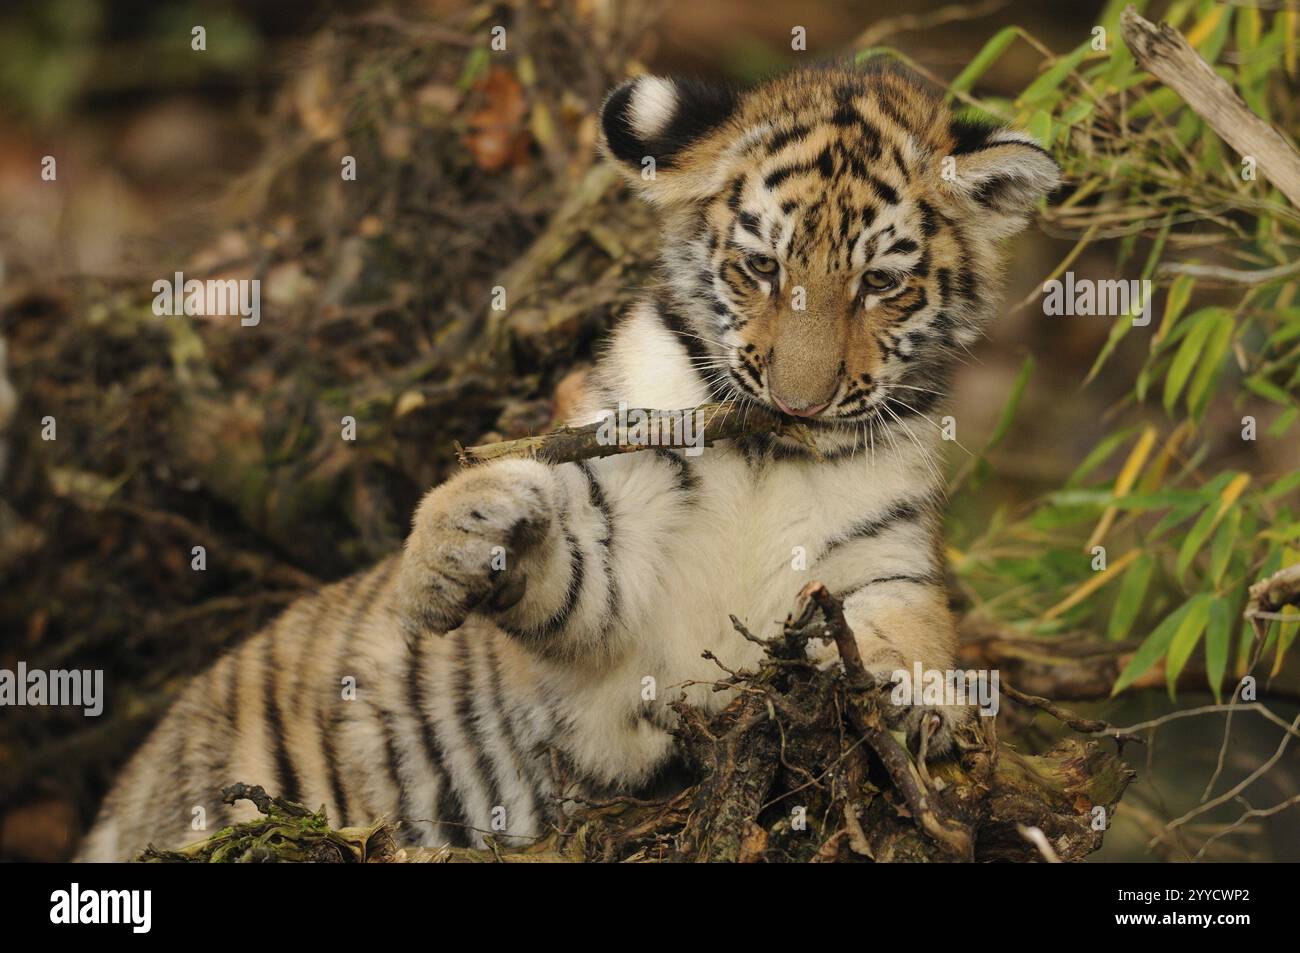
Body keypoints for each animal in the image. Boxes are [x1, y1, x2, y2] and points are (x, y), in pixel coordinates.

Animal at [77, 62, 1059, 861]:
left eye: (880, 283)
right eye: (760, 268)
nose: (798, 401)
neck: (768, 454)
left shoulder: (880, 558)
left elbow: (901, 623)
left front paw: (920, 701)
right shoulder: (623, 561)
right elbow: (566, 560)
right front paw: (457, 541)